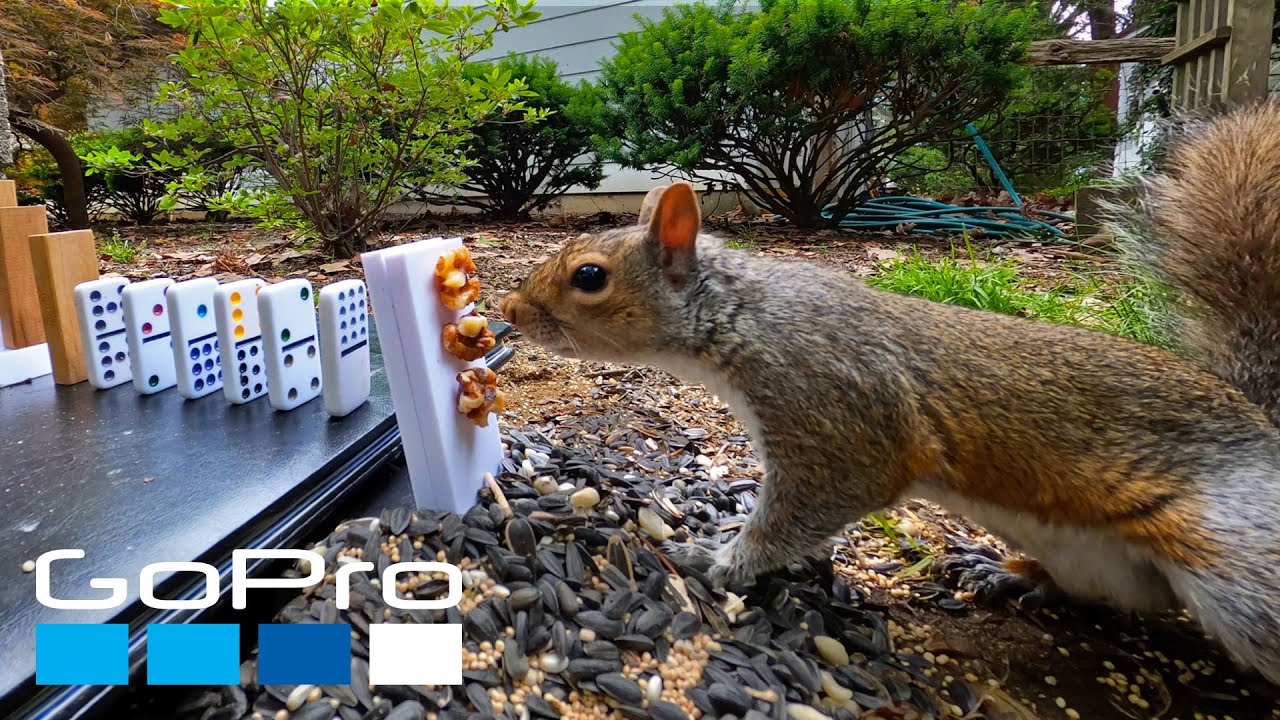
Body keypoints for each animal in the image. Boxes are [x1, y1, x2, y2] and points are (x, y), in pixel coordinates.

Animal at [497, 100, 1280, 684]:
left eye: (590, 277)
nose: (508, 313)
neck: (742, 318)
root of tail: (1259, 422)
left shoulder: (835, 412)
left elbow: (815, 502)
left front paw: (718, 561)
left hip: (1236, 558)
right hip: (1096, 560)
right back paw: (1010, 574)